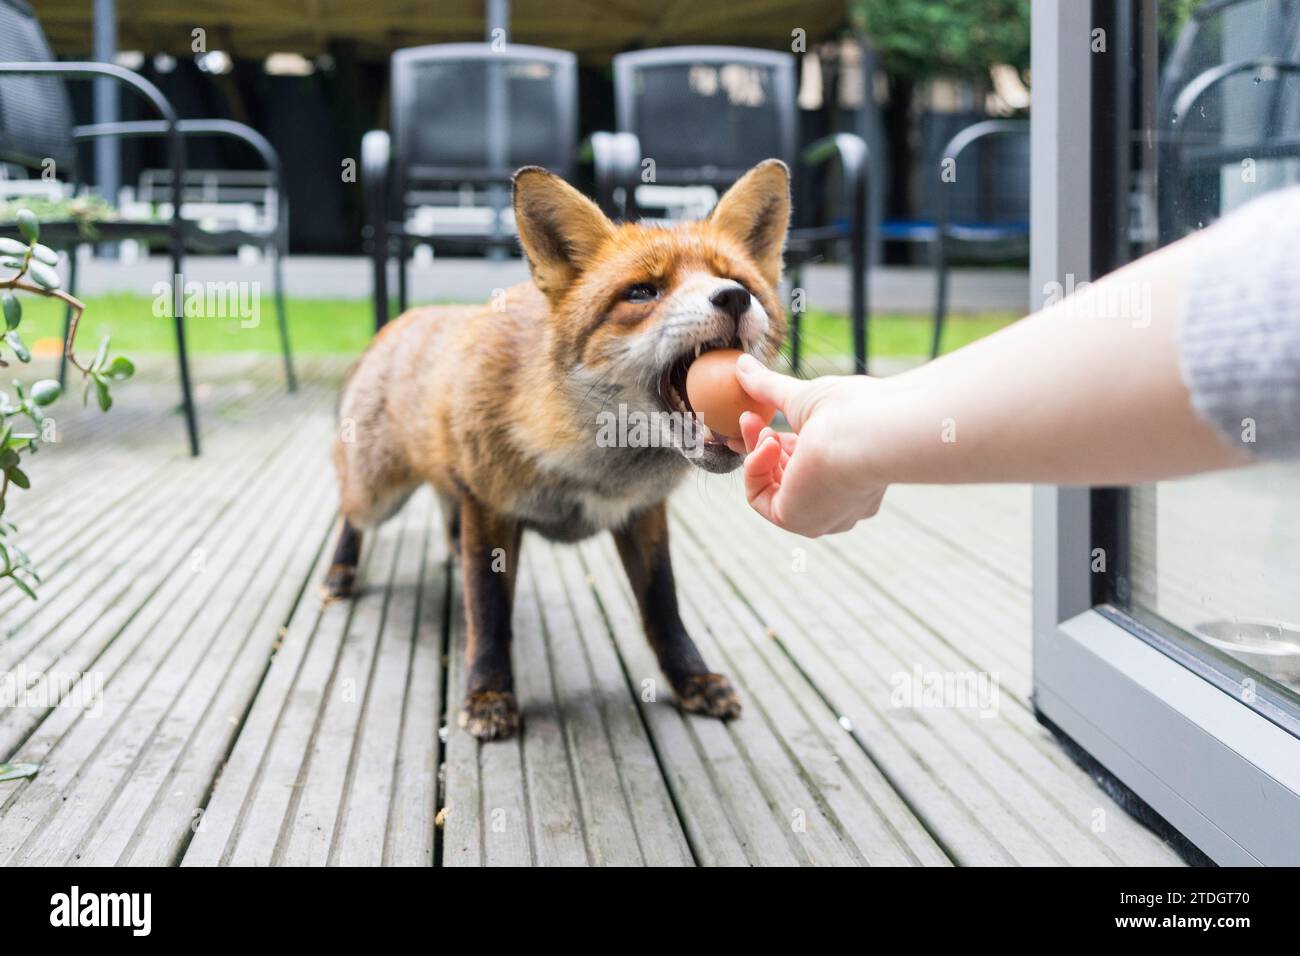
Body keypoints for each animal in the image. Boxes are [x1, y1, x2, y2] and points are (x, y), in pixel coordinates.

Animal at [326, 159, 790, 740]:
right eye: (642, 292)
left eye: (740, 281)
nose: (732, 297)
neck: (597, 466)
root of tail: (403, 319)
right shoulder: (490, 507)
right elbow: (489, 613)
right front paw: (488, 694)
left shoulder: (642, 512)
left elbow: (663, 609)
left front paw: (693, 678)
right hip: (378, 496)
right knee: (349, 511)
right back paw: (340, 569)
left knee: (446, 517)